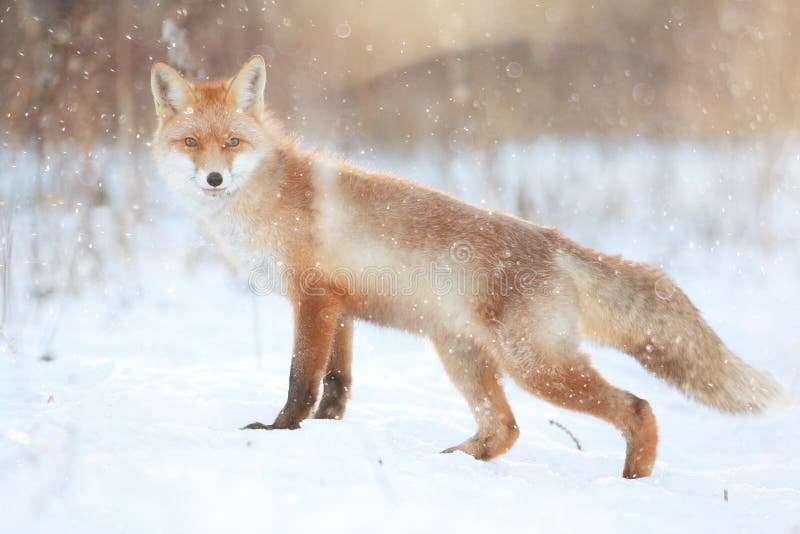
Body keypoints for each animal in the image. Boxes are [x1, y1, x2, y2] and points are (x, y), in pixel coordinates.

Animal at [150, 55, 782, 478]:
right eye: (191, 143)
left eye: (232, 142)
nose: (214, 179)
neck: (269, 201)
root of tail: (553, 242)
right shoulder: (340, 306)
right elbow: (337, 384)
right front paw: (327, 432)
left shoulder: (315, 299)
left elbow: (300, 381)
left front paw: (280, 432)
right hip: (461, 355)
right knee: (505, 429)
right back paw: (452, 461)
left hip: (535, 366)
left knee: (638, 408)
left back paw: (631, 483)